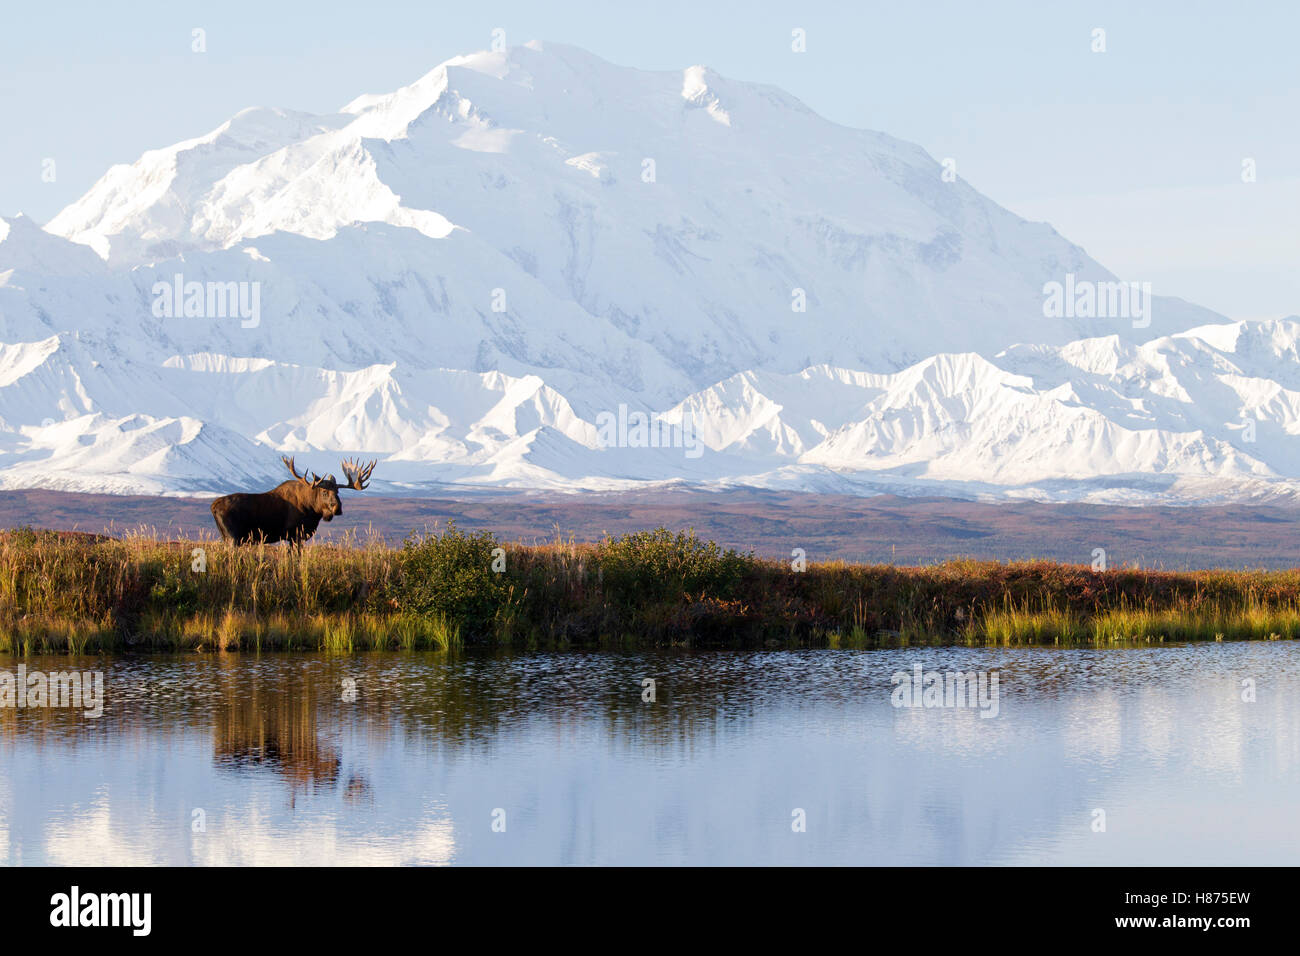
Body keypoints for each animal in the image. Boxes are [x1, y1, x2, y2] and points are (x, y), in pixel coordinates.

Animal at [210, 456, 377, 545]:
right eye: (324, 491)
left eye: (338, 491)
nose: (338, 508)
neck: (313, 511)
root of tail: (213, 506)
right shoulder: (295, 535)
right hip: (233, 538)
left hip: (226, 537)